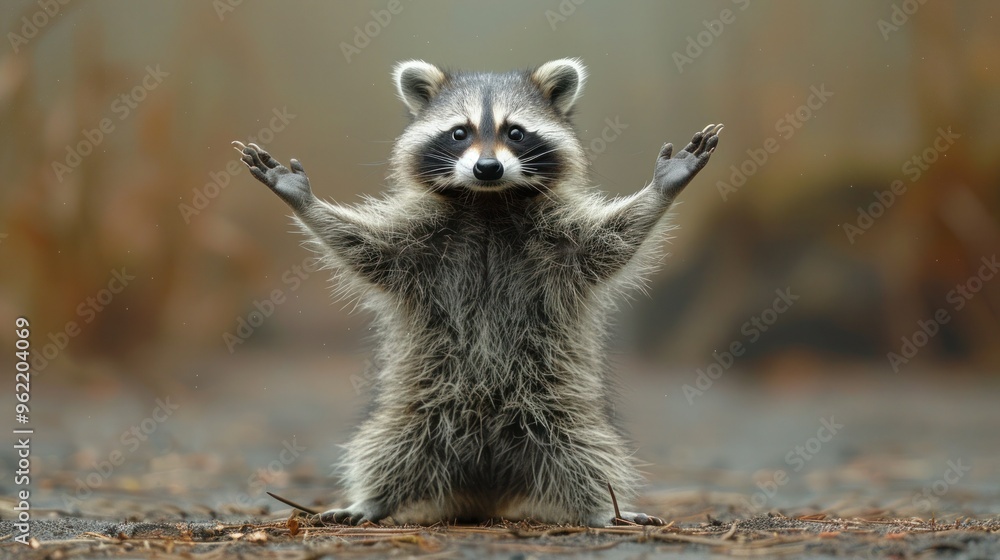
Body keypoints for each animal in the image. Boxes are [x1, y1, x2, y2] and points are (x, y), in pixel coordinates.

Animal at [235, 59, 721, 527]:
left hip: (558, 403)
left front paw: (661, 190)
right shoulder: (420, 244)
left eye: (516, 132)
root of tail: (487, 488)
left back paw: (599, 507)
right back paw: (373, 501)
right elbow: (367, 249)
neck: (488, 202)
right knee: (389, 448)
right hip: (421, 404)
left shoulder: (558, 243)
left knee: (584, 451)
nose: (488, 168)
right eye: (459, 132)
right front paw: (305, 202)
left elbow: (608, 244)